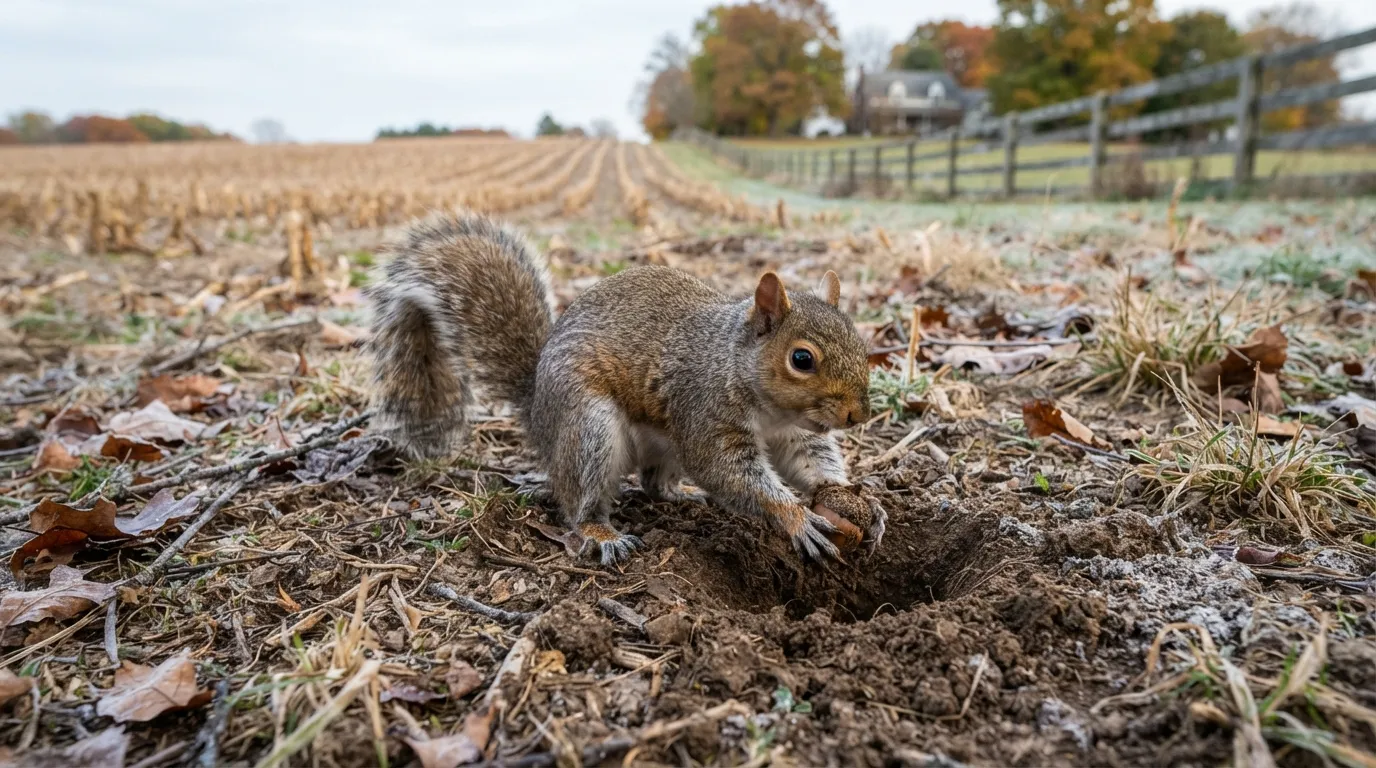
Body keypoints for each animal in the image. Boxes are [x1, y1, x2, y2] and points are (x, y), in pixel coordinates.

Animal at [366, 211, 885, 564]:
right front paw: (797, 519)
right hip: (589, 427)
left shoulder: (796, 434)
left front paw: (854, 498)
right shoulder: (704, 411)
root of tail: (538, 412)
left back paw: (683, 495)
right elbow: (729, 473)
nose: (858, 414)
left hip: (661, 446)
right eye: (802, 359)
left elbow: (811, 463)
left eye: (859, 340)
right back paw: (602, 534)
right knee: (579, 502)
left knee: (655, 484)